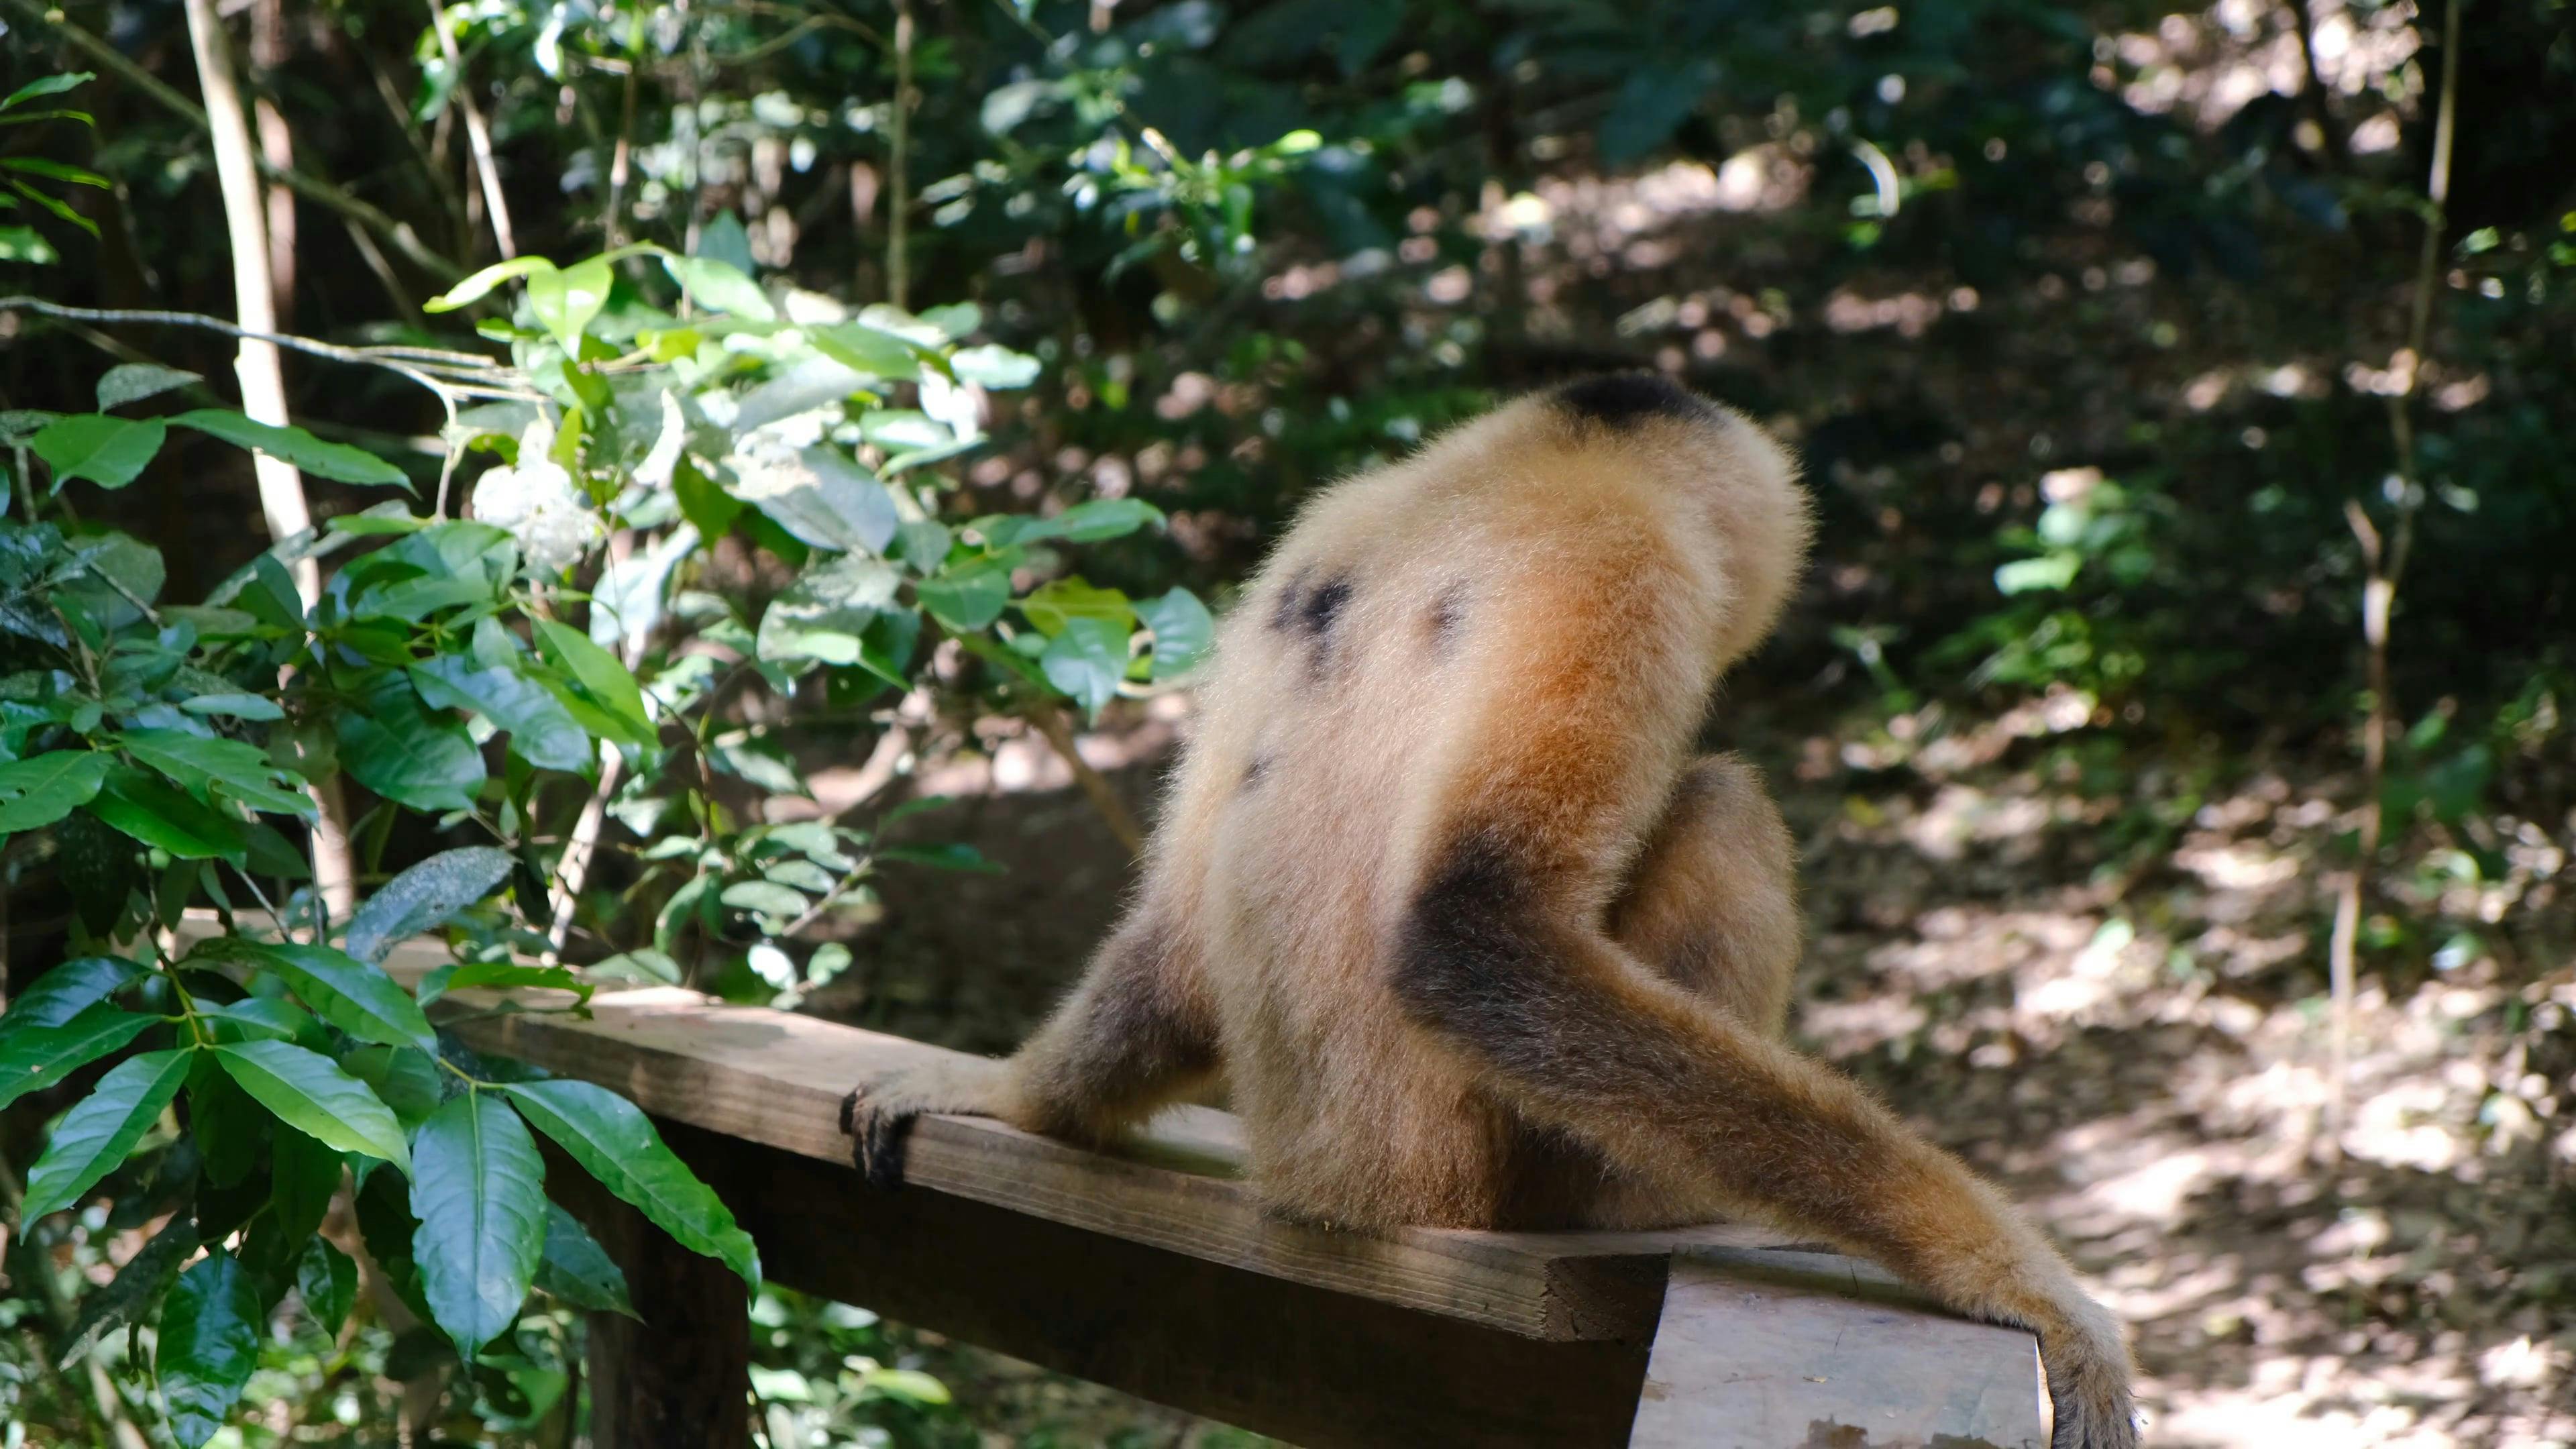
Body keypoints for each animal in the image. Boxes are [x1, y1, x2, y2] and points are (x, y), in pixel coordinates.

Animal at [845, 374, 2139, 1448]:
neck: (1501, 466)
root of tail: (1334, 1191)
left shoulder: (1303, 545)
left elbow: (1172, 945)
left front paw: (1005, 1094)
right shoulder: (1625, 563)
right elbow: (1476, 935)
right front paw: (2029, 1285)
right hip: (1536, 1181)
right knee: (1721, 804)